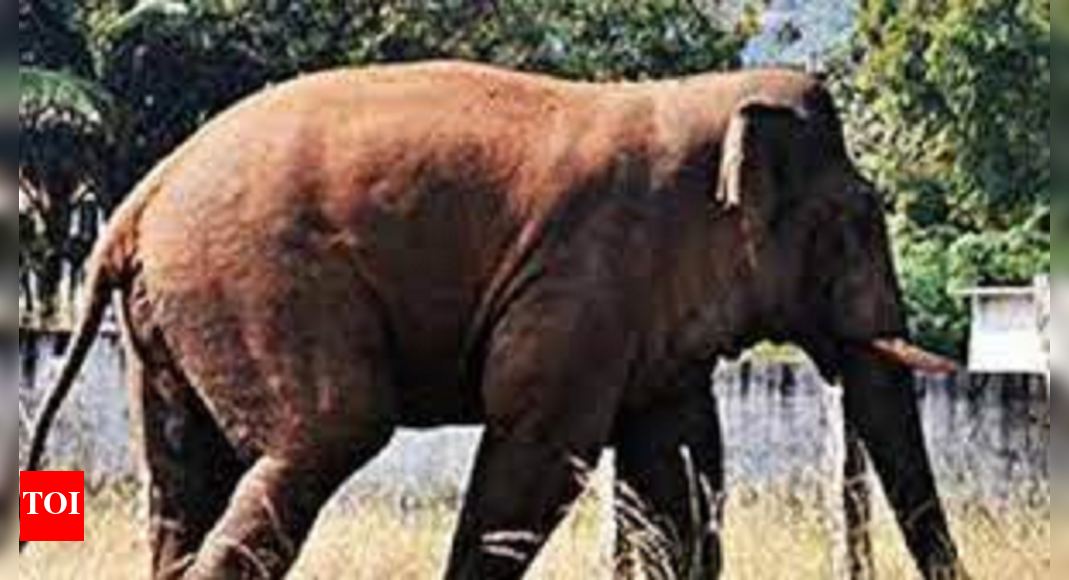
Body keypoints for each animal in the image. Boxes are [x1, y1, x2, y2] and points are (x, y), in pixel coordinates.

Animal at [21, 61, 967, 579]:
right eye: (856, 223)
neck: (701, 105)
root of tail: (139, 198)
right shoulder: (584, 282)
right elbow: (543, 448)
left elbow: (676, 465)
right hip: (258, 286)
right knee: (322, 438)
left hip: (171, 324)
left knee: (182, 481)